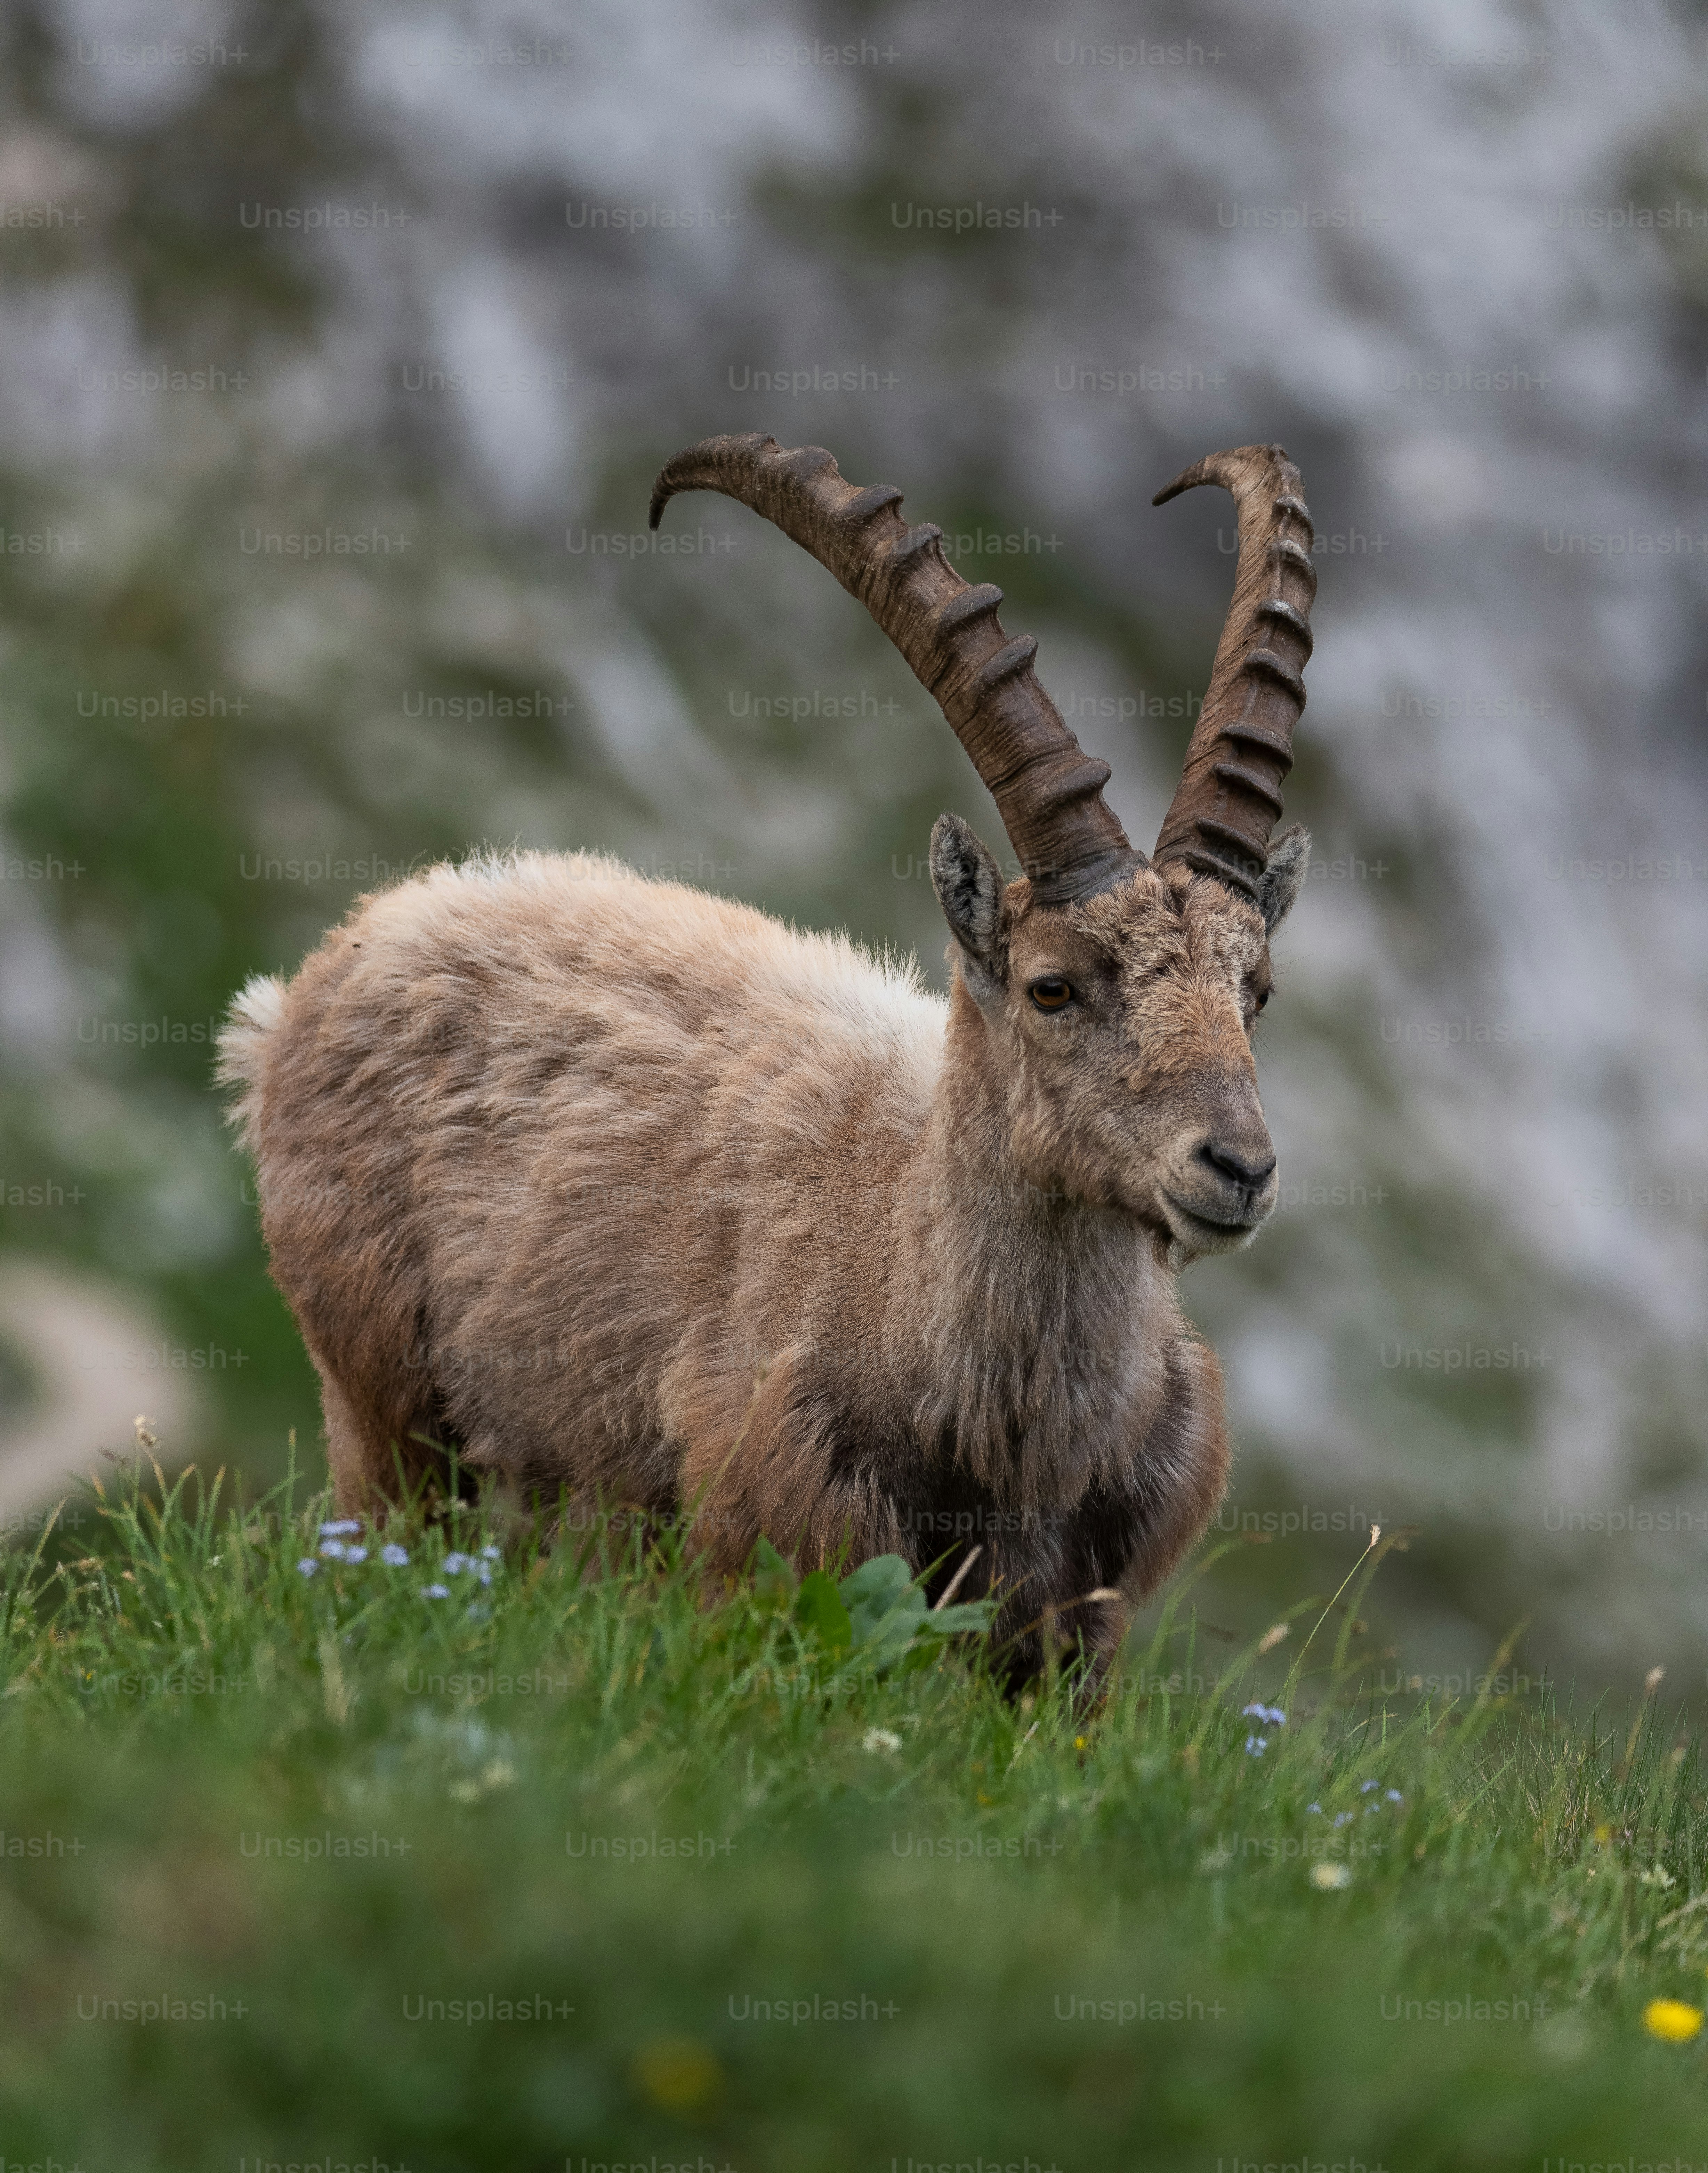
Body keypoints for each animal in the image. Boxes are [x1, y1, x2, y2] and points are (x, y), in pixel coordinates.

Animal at [219, 434, 1316, 1681]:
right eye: (1053, 986)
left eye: (1255, 992)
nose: (1238, 1169)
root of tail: (319, 977)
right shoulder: (768, 1533)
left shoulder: (1076, 1627)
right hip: (380, 1395)